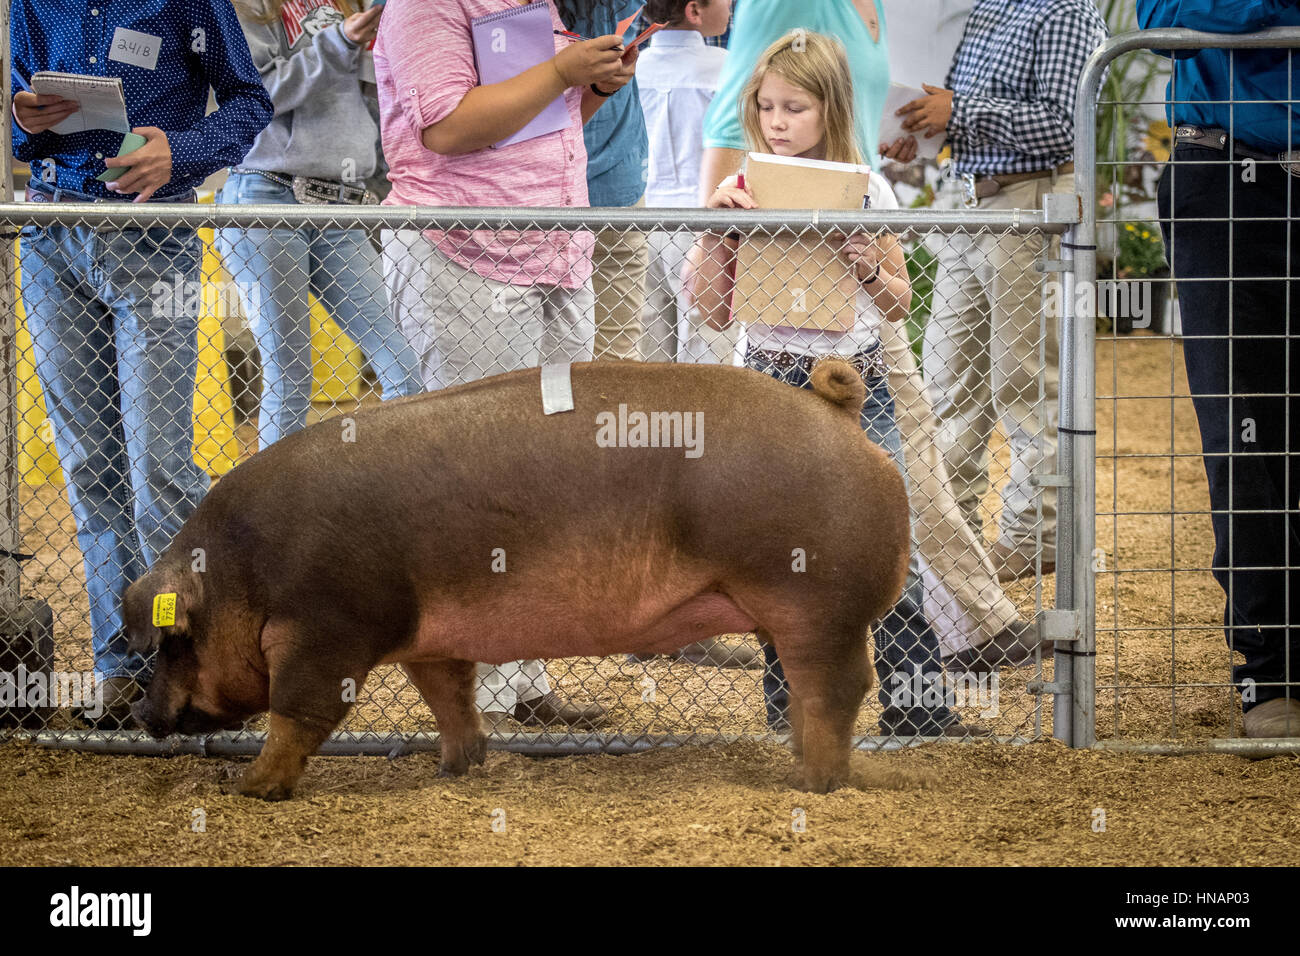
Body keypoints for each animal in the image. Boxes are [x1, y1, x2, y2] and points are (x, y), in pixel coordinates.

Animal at [126, 358, 909, 799]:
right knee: (810, 692)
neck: (241, 573)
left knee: (837, 688)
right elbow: (449, 697)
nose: (144, 719)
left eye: (174, 642)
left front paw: (251, 789)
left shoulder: (327, 627)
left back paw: (817, 784)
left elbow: (299, 713)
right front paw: (456, 769)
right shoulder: (428, 636)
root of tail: (837, 411)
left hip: (819, 602)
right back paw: (804, 767)